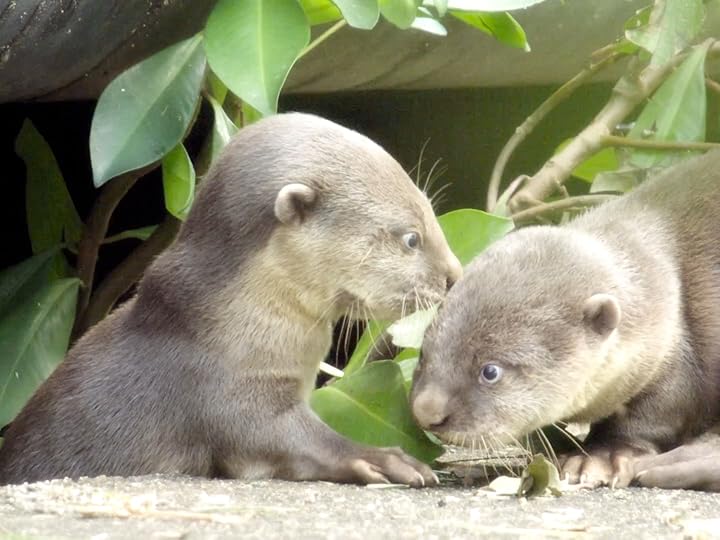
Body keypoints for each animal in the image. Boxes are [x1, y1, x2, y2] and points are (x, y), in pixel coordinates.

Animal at [0, 113, 462, 486]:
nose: (455, 275)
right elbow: (295, 442)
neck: (232, 330)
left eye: (430, 211)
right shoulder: (229, 397)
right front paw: (386, 460)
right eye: (411, 238)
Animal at [410, 149, 720, 491]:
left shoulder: (672, 350)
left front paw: (600, 457)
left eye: (490, 371)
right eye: (423, 353)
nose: (426, 411)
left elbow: (659, 411)